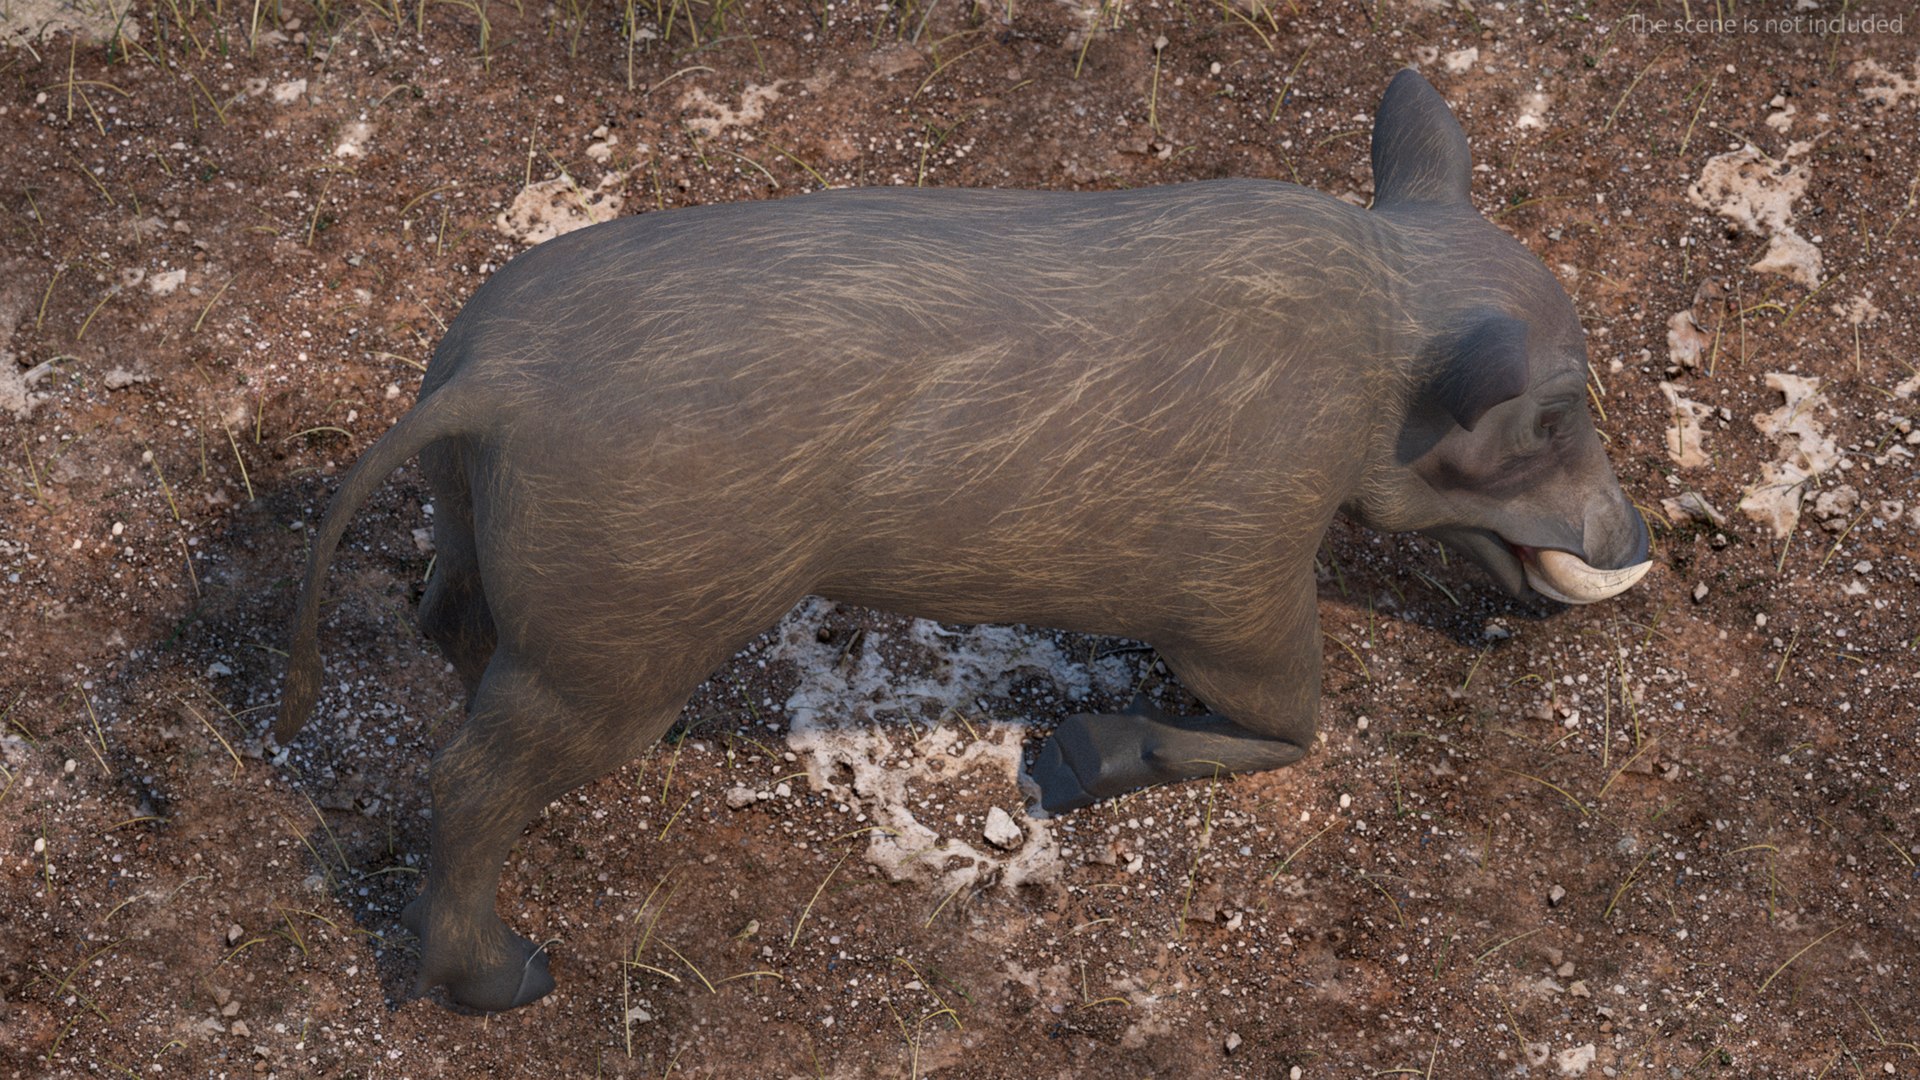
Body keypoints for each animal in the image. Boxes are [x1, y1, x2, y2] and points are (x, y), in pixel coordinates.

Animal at [276, 69, 1650, 1012]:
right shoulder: (1236, 584)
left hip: (483, 548)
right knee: (465, 780)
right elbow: (1296, 727)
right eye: (1548, 418)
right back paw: (511, 982)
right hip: (617, 650)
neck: (1374, 361)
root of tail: (484, 384)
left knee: (443, 631)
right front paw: (1055, 768)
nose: (1637, 537)